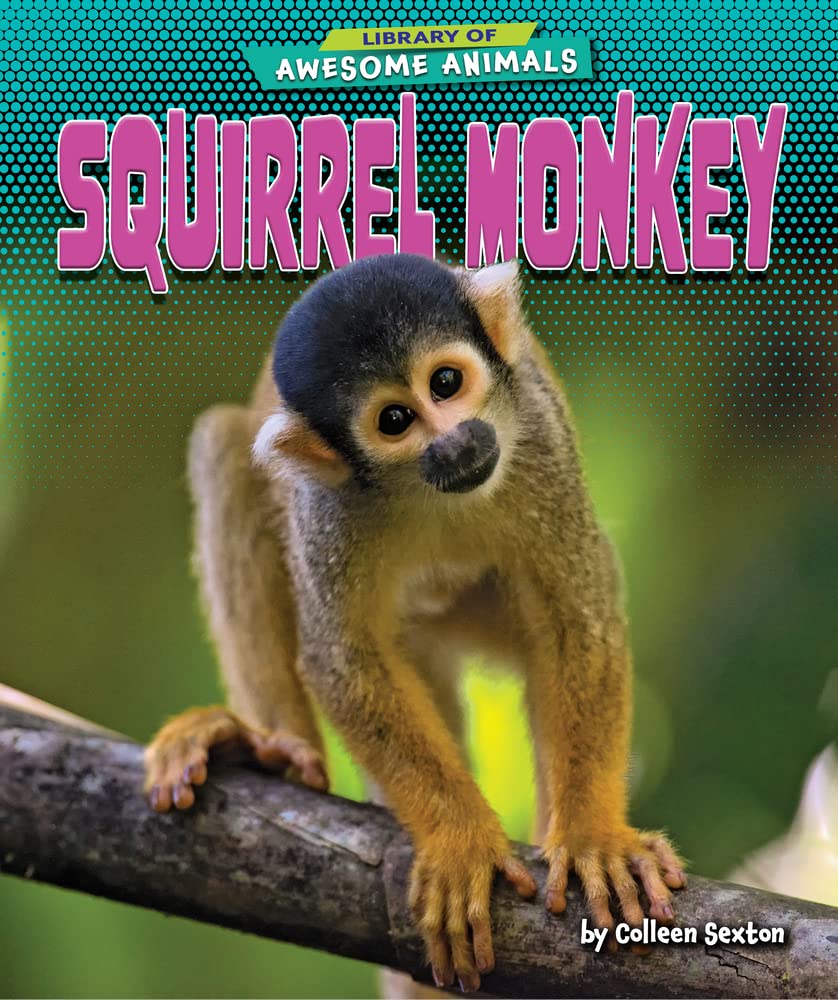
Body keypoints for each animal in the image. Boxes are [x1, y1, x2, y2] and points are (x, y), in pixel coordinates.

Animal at [145, 253, 686, 994]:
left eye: (447, 383)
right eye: (396, 419)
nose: (454, 443)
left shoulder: (539, 438)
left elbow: (578, 617)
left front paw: (593, 837)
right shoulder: (328, 507)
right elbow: (342, 660)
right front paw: (459, 841)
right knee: (222, 448)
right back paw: (273, 747)